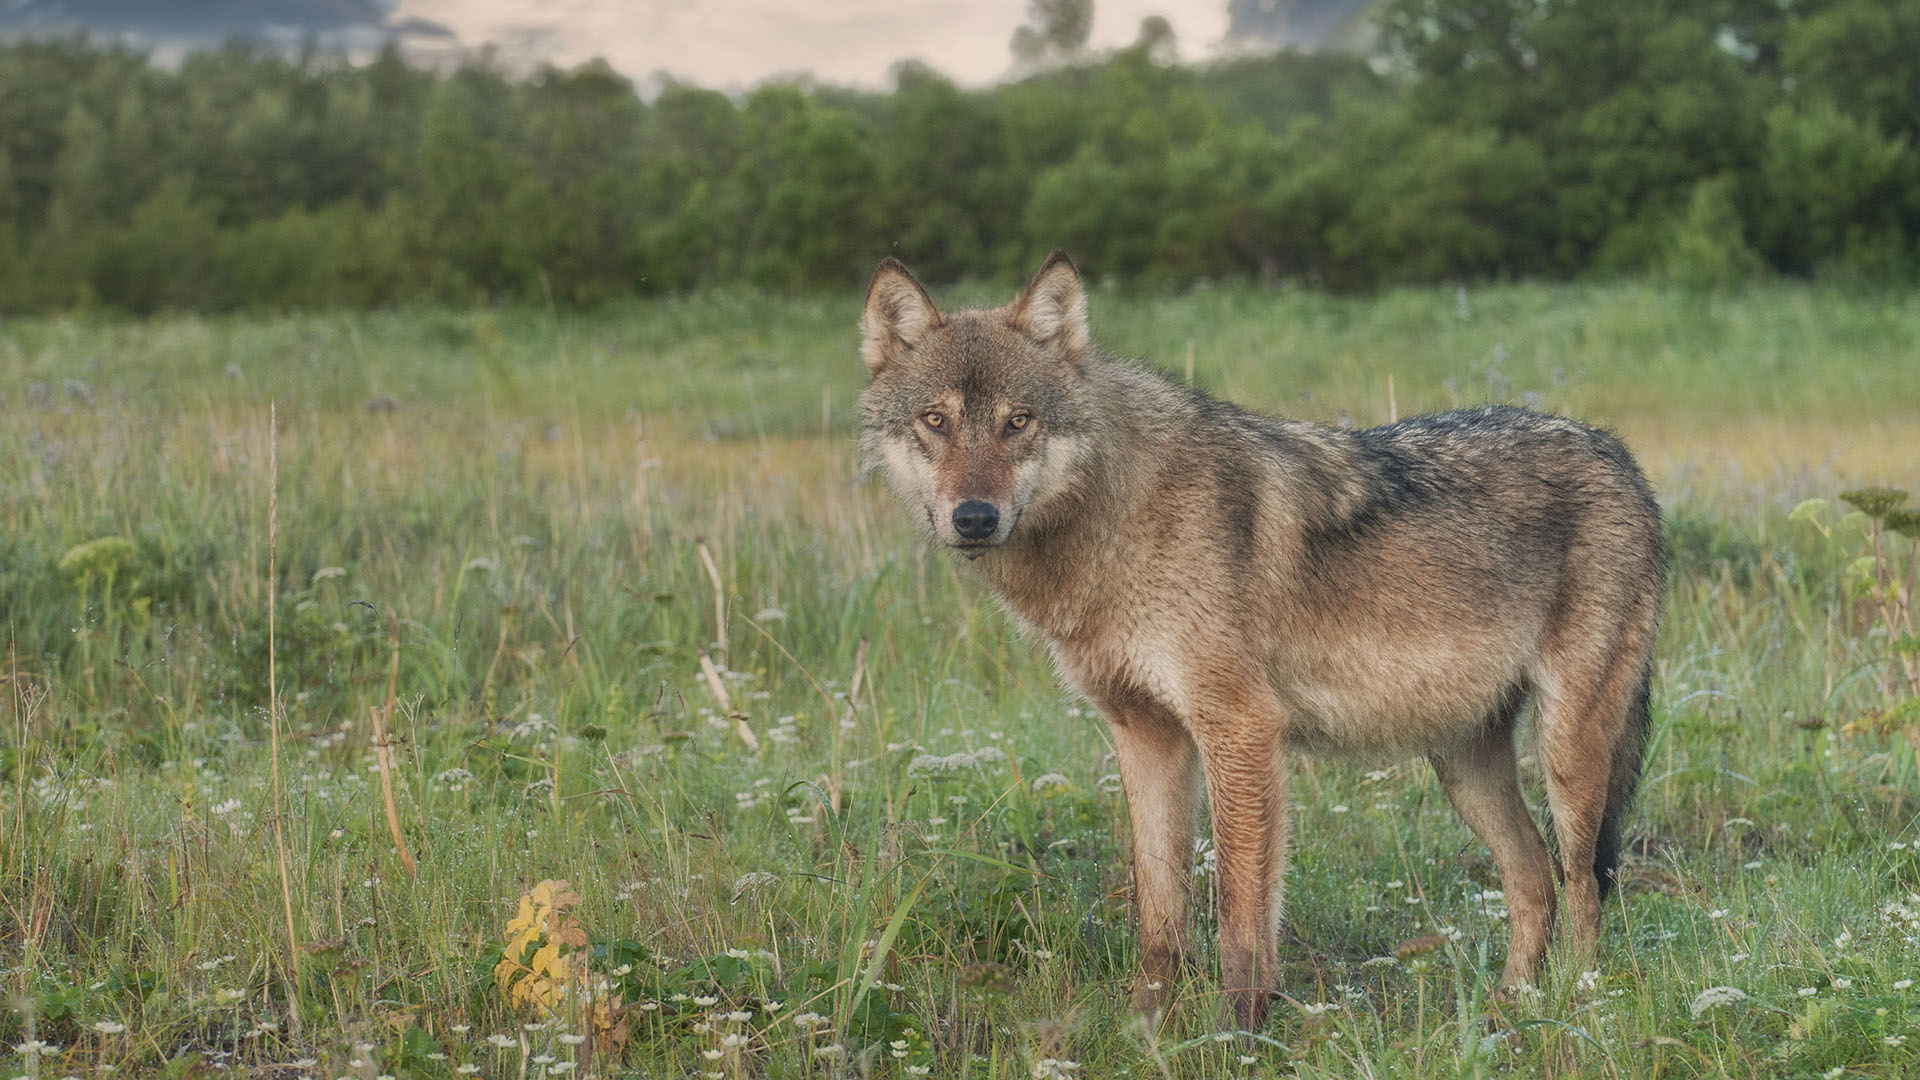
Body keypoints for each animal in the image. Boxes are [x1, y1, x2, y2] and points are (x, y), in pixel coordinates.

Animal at [857, 251, 1665, 1031]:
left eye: (1017, 422)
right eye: (936, 420)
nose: (974, 517)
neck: (1117, 523)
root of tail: (1620, 454)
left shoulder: (1241, 729)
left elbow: (1241, 915)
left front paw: (1237, 1037)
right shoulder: (1144, 736)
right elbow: (1160, 916)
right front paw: (1144, 1032)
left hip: (1567, 755)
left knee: (1583, 885)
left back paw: (1574, 1008)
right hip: (1464, 767)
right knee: (1534, 879)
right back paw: (1511, 1009)